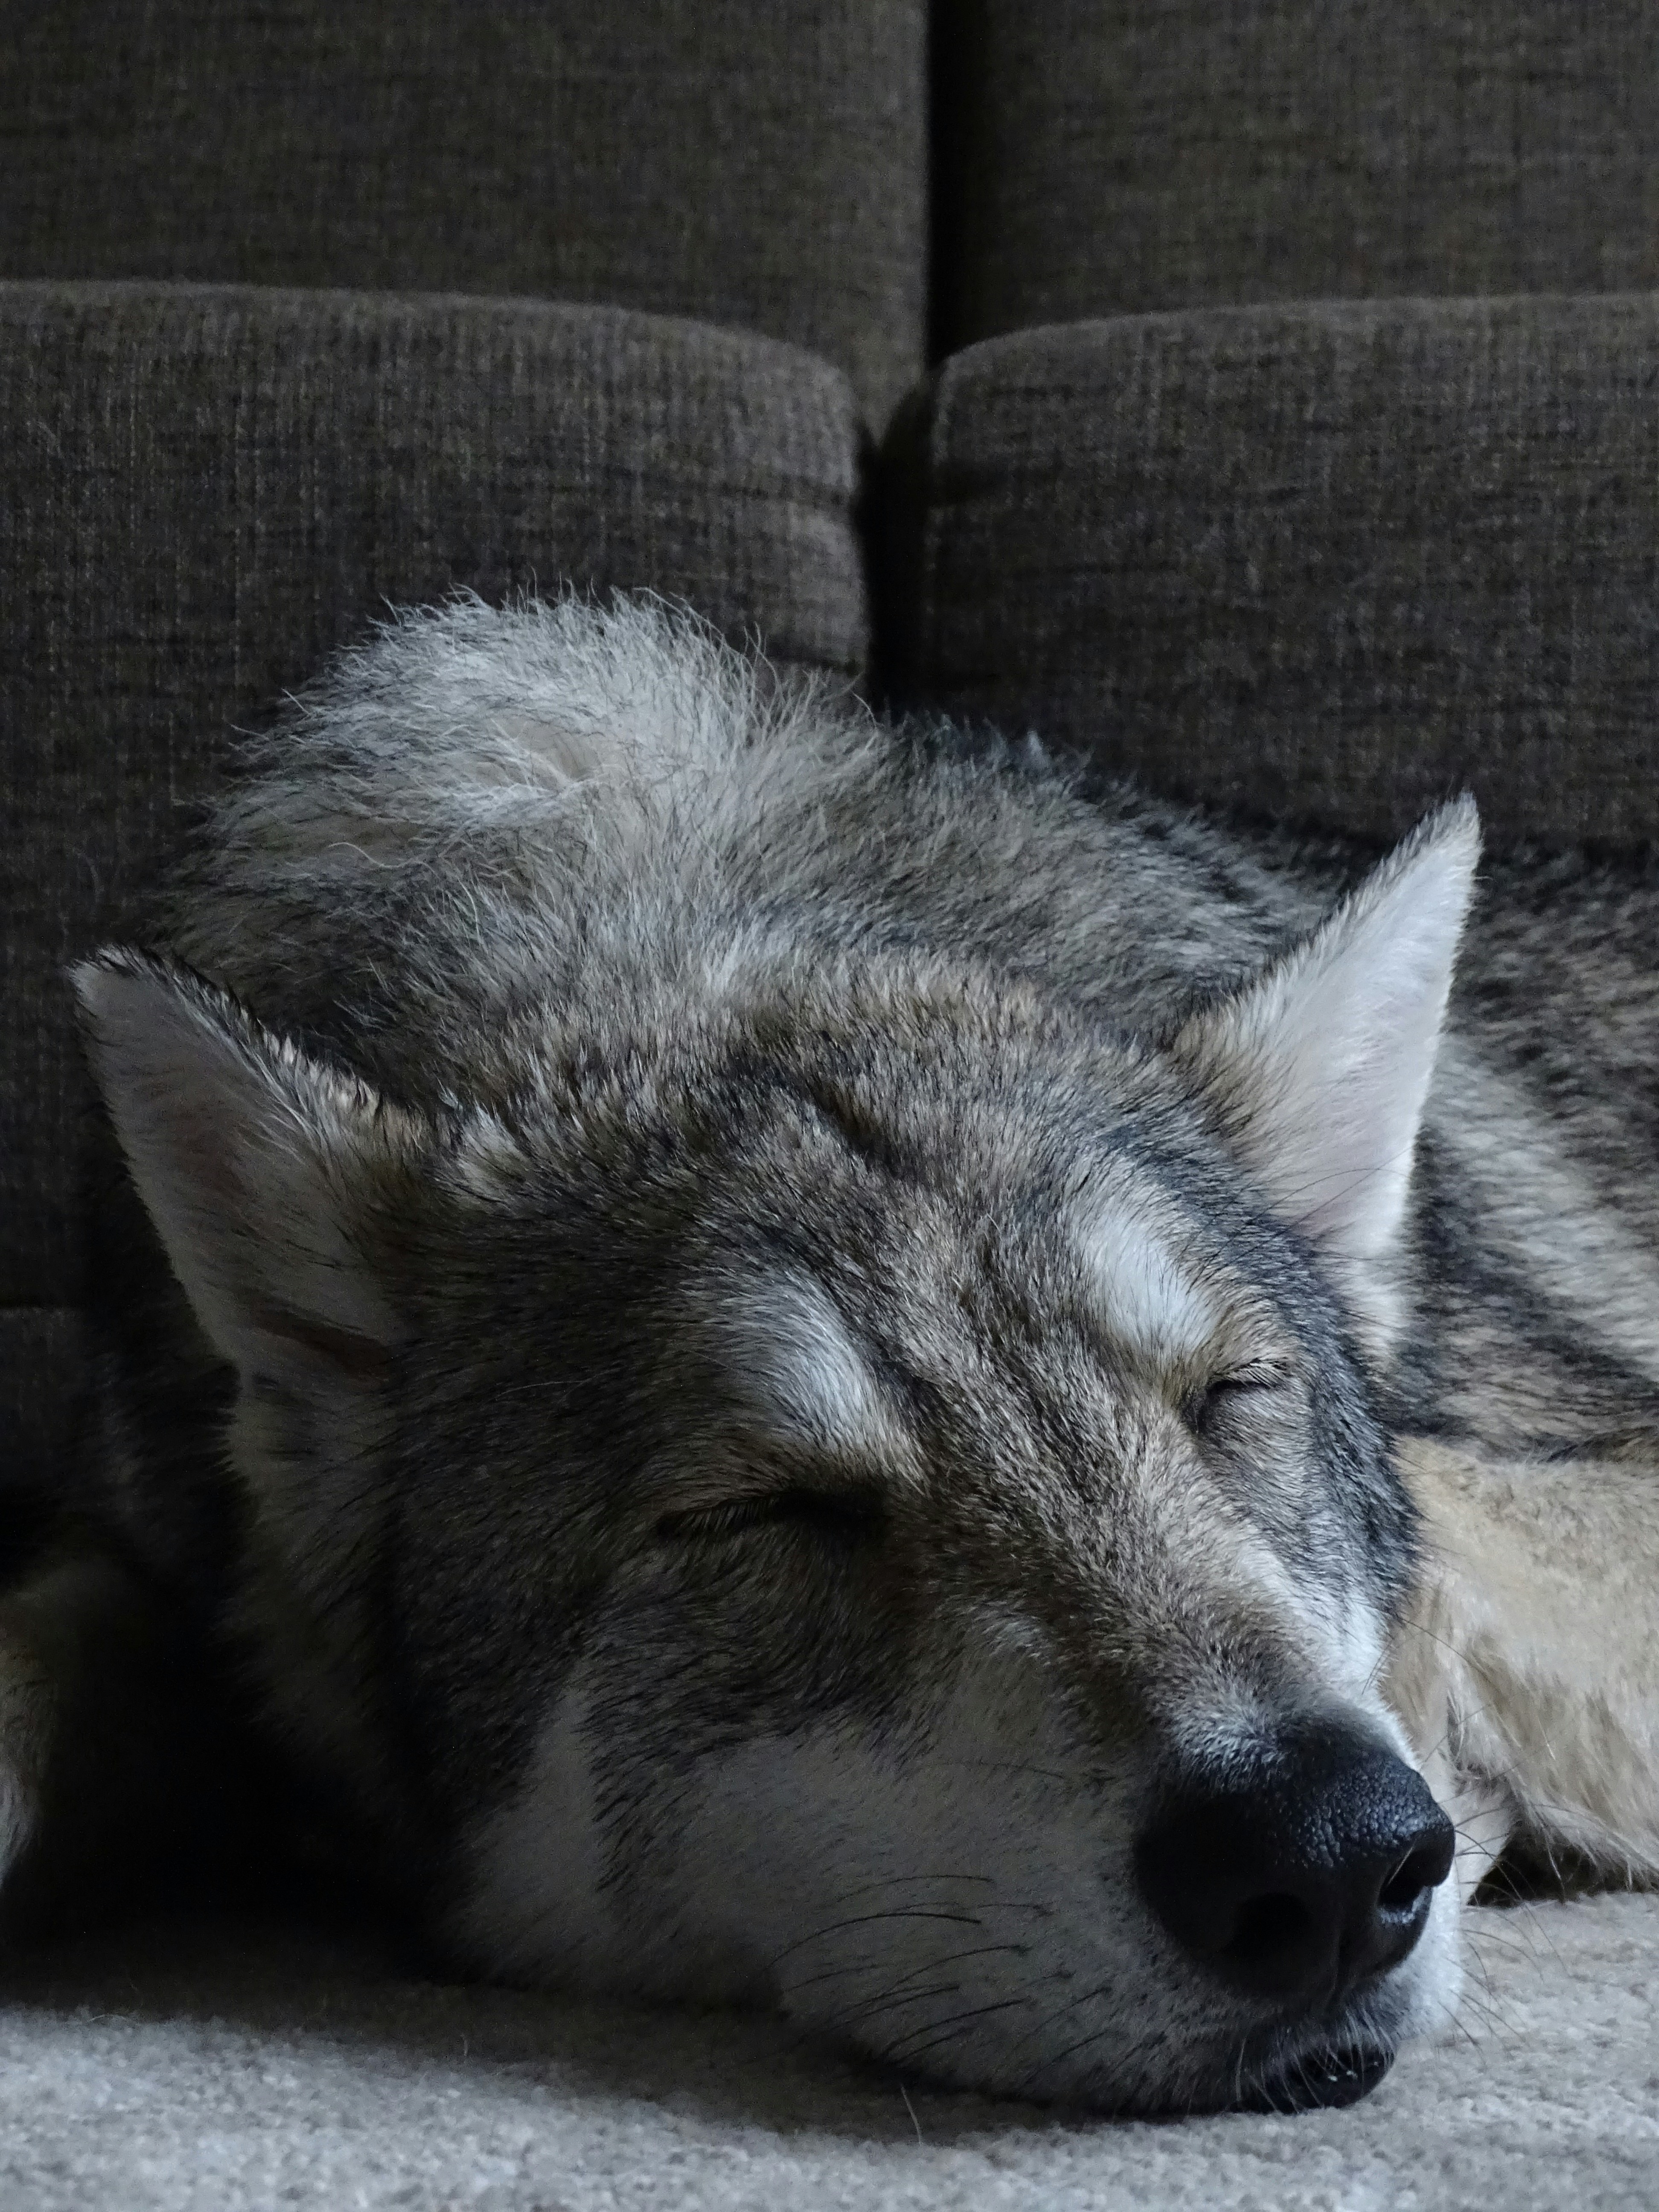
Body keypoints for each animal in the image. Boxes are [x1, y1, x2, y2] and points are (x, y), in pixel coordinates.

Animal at [4, 593, 1657, 2116]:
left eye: (1228, 1398)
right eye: (767, 1510)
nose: (1325, 1859)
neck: (686, 928)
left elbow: (1444, 1556)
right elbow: (62, 1632)